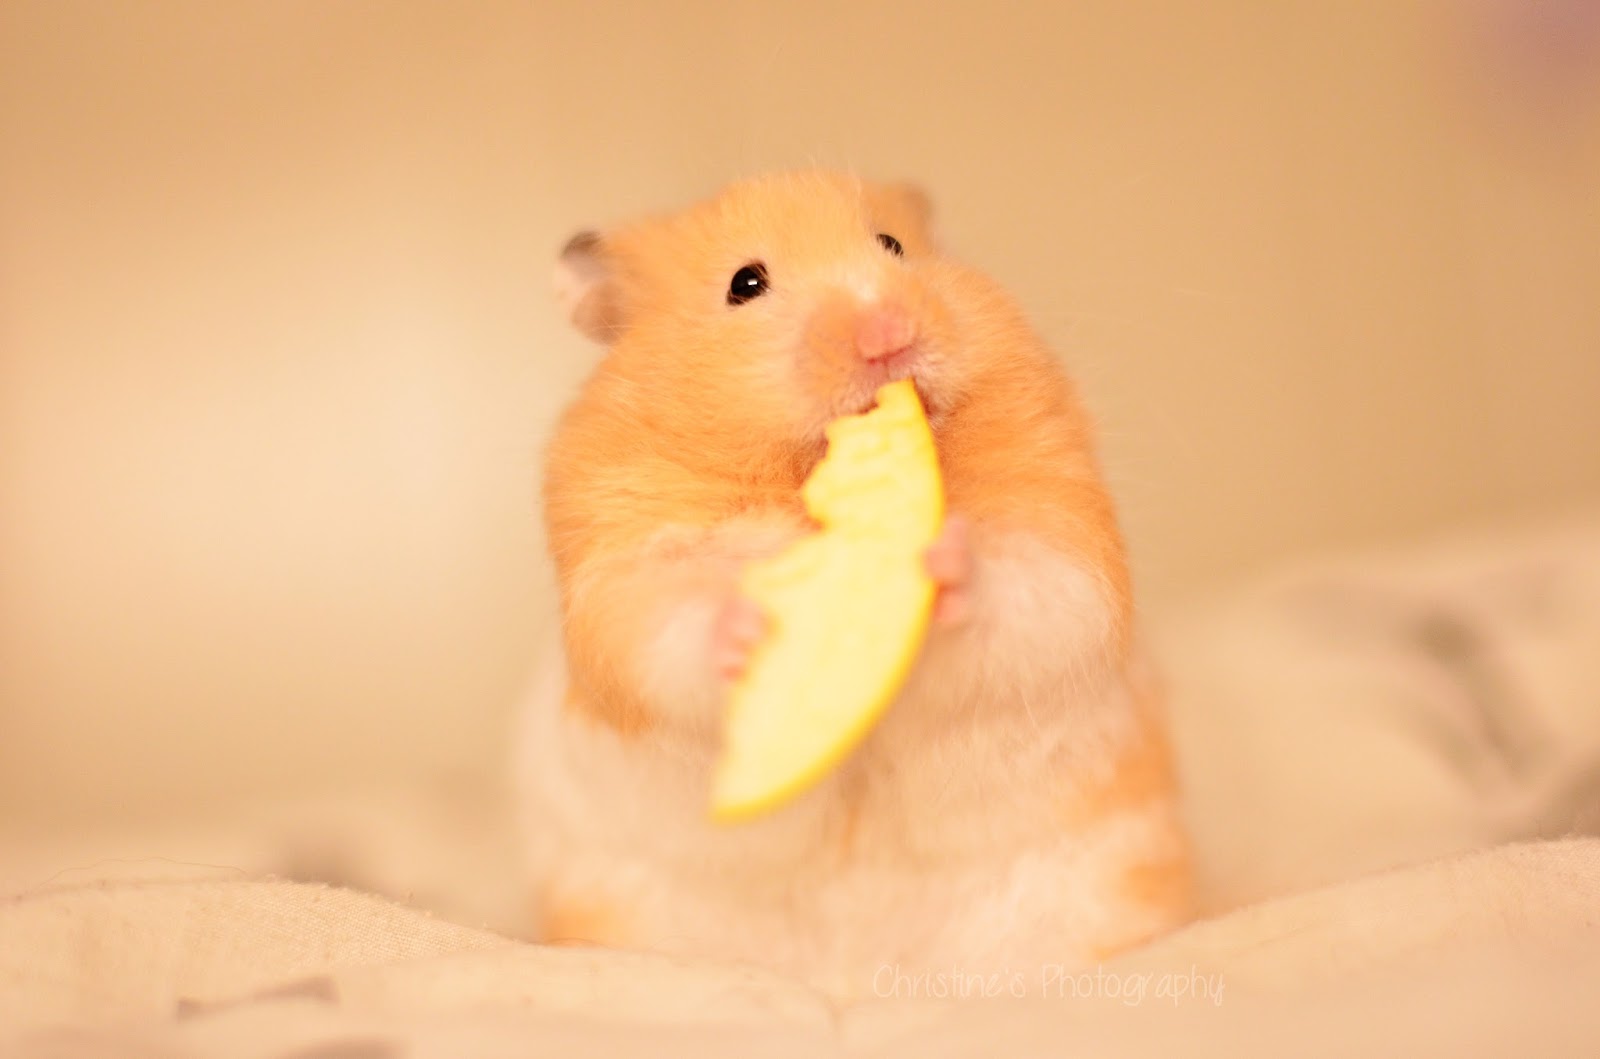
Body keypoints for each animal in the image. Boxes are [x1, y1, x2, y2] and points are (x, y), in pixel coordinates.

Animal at [515, 170, 1192, 998]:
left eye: (892, 245)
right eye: (745, 284)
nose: (887, 330)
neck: (804, 478)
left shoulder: (1062, 537)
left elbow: (1034, 587)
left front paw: (945, 559)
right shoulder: (622, 571)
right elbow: (666, 619)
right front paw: (748, 620)